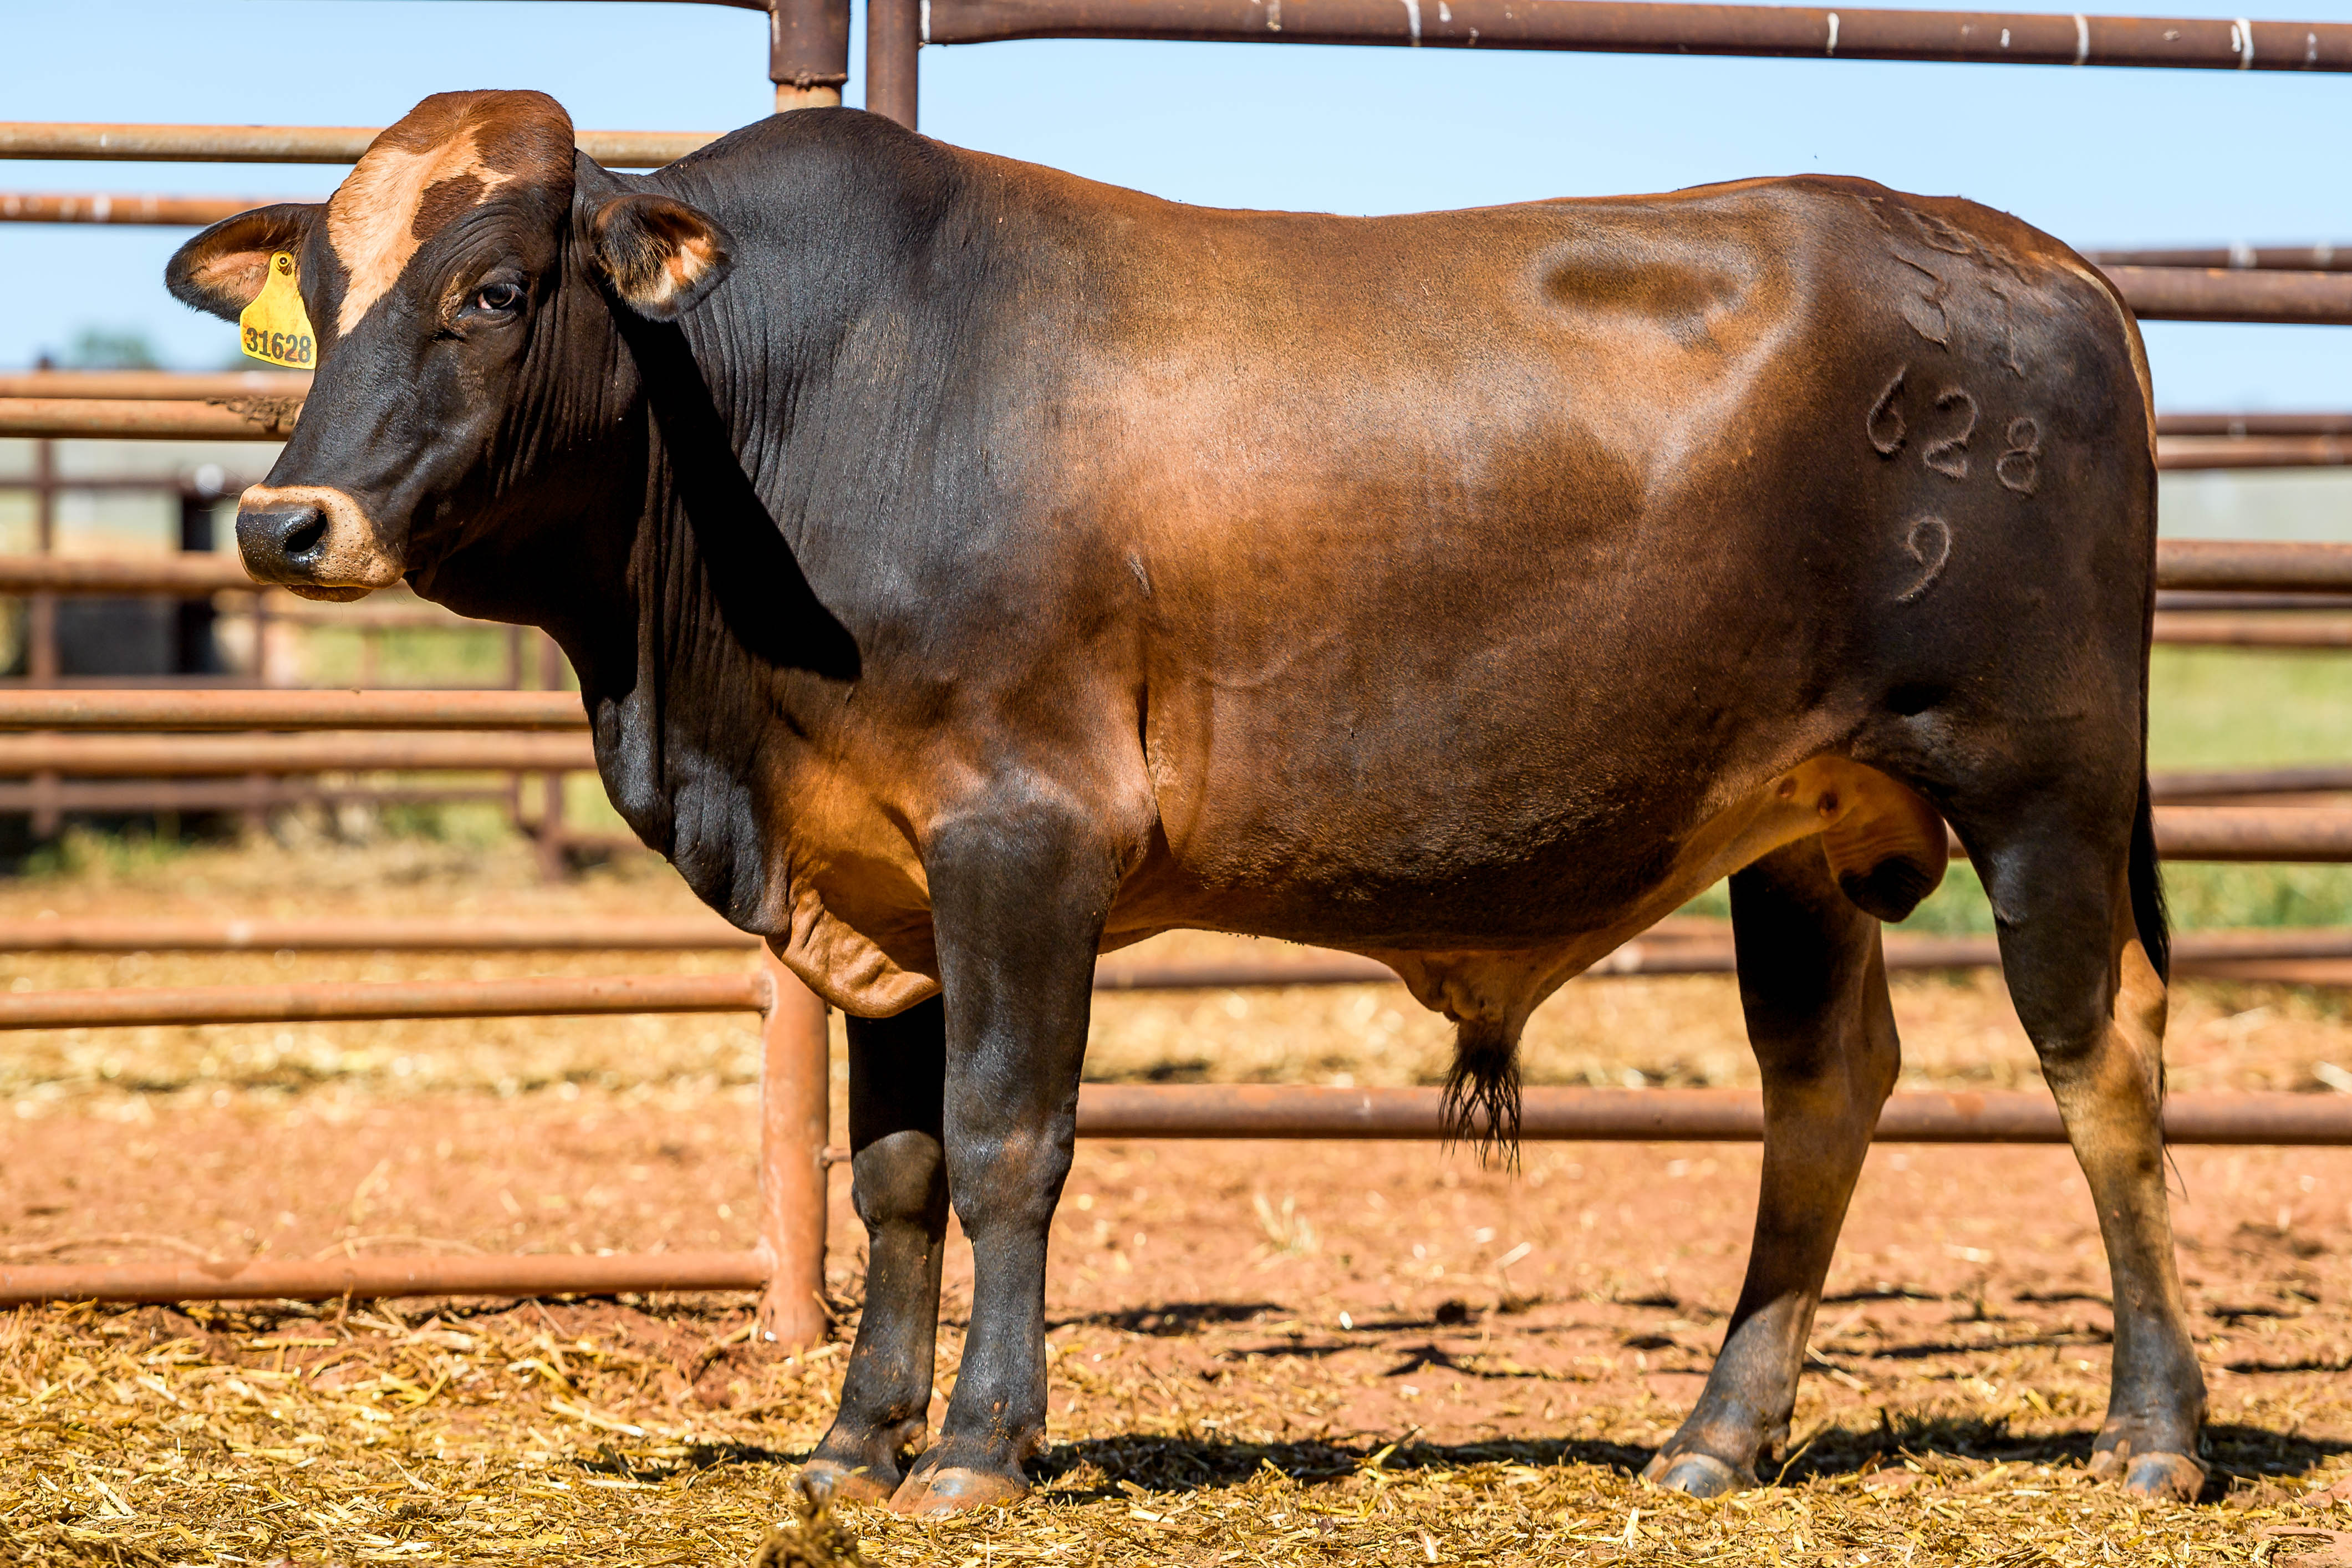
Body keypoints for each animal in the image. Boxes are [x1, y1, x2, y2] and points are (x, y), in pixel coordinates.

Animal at [166, 89, 2204, 1513]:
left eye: (495, 289)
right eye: (319, 299)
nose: (285, 523)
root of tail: (2036, 260)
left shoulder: (1021, 840)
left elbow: (1004, 1140)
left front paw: (975, 1447)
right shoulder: (882, 879)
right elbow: (894, 1171)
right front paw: (850, 1443)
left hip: (2041, 790)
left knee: (2100, 1068)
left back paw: (2153, 1432)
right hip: (1797, 830)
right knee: (1822, 1093)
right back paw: (1718, 1429)